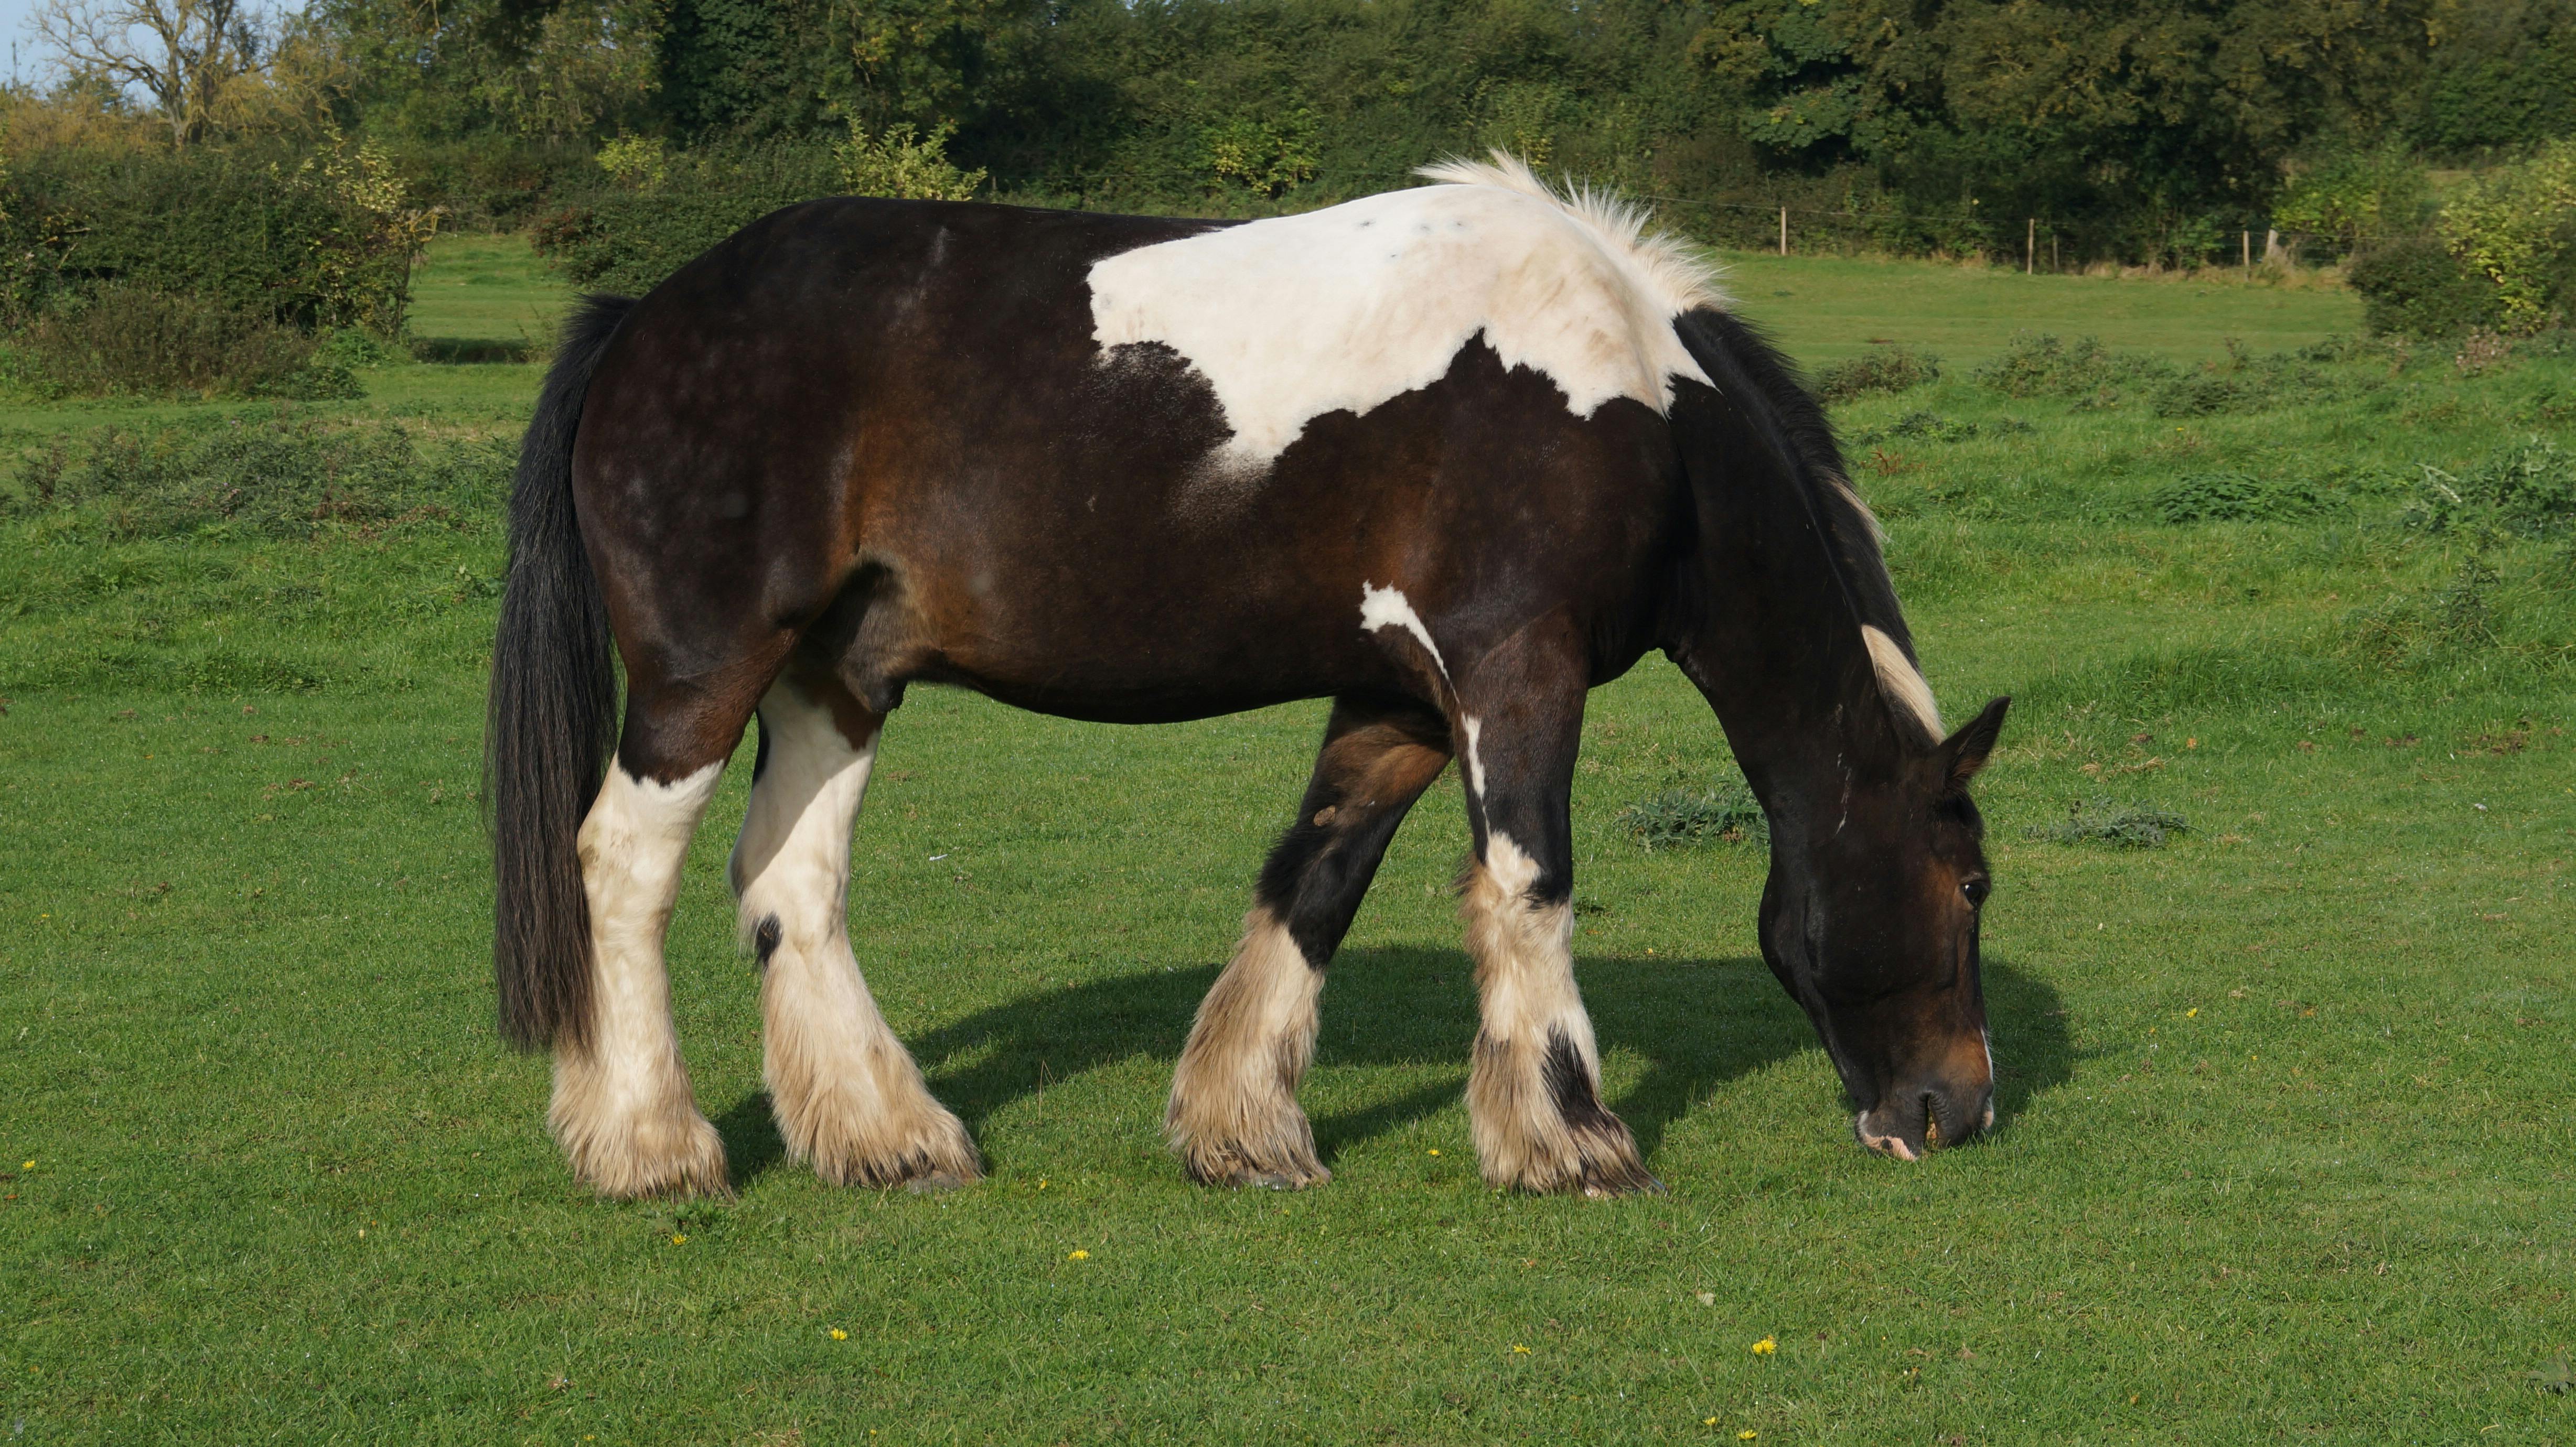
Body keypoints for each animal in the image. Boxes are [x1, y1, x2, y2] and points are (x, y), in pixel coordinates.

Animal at [485, 155, 2010, 1201]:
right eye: (1970, 886)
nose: (1958, 1113)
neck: (1621, 393)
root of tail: (646, 317)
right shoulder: (1516, 671)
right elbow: (1528, 887)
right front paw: (1569, 1138)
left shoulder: (1403, 701)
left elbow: (1315, 879)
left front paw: (1242, 1126)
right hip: (705, 674)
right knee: (621, 865)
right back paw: (649, 1144)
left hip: (838, 677)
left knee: (791, 884)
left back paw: (887, 1135)